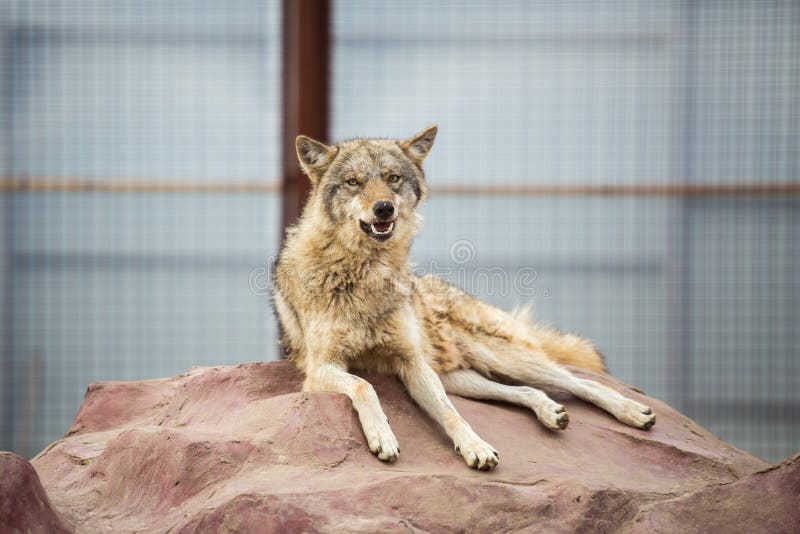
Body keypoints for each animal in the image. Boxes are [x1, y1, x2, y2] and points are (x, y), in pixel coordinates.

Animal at [273, 126, 655, 470]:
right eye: (354, 182)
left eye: (393, 178)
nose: (383, 208)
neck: (365, 273)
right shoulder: (321, 368)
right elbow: (366, 386)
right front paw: (383, 437)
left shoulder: (413, 363)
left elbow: (451, 414)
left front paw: (476, 447)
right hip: (461, 378)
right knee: (529, 392)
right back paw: (551, 412)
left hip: (500, 360)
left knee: (580, 382)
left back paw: (632, 412)